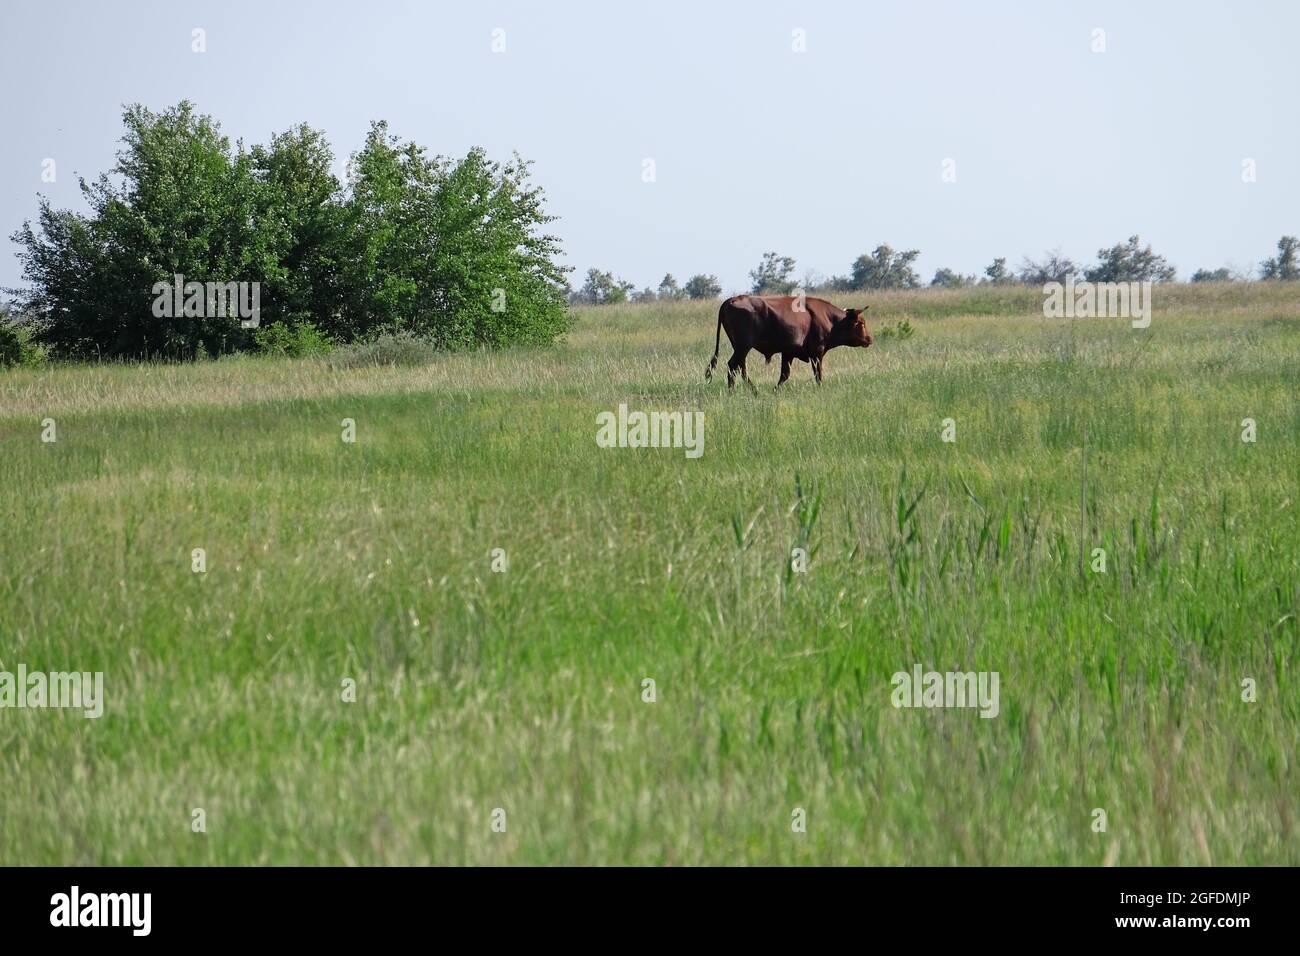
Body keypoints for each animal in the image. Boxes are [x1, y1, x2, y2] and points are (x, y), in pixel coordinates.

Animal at [704, 295, 873, 390]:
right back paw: (736, 392)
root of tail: (730, 300)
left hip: (741, 348)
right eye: (861, 323)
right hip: (743, 347)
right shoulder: (817, 354)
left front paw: (775, 391)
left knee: (740, 368)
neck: (827, 318)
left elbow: (784, 375)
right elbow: (818, 374)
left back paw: (753, 391)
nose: (870, 339)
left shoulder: (788, 353)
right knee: (733, 366)